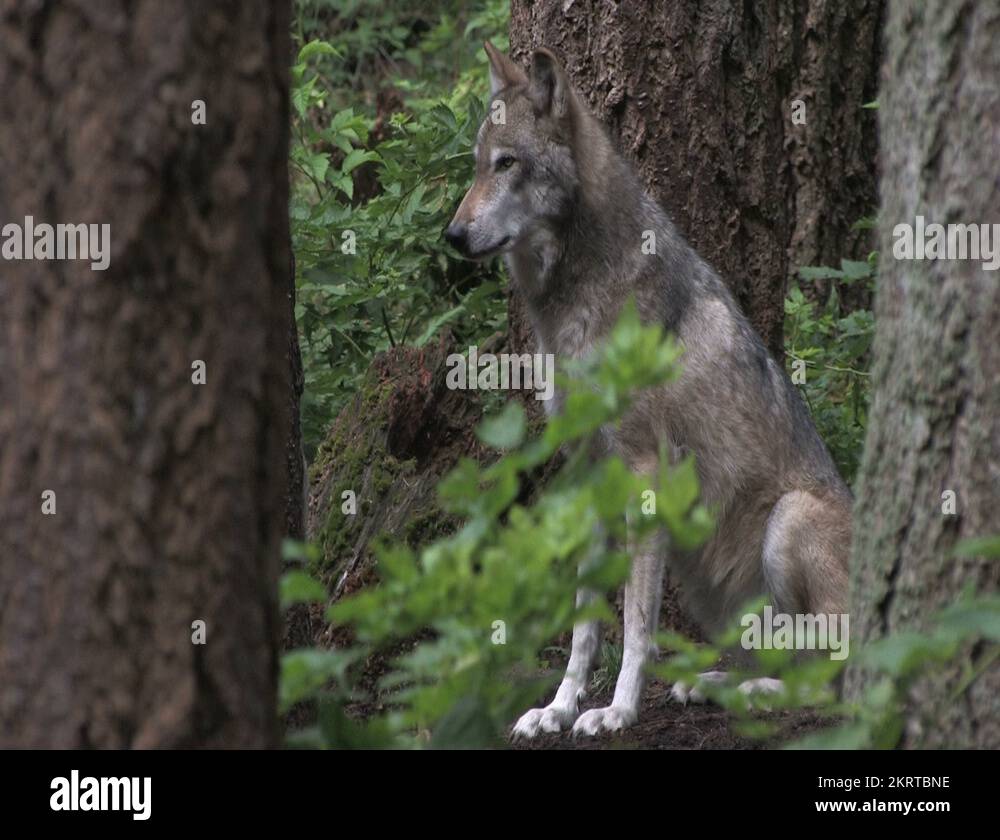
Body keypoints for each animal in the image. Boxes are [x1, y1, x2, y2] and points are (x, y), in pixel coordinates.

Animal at [445, 43, 852, 738]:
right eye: (478, 165)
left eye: (507, 163)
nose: (452, 235)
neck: (575, 302)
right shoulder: (587, 476)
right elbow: (584, 623)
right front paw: (558, 708)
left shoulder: (644, 478)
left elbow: (636, 624)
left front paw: (617, 711)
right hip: (711, 591)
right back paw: (712, 685)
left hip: (787, 521)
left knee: (831, 686)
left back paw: (744, 694)